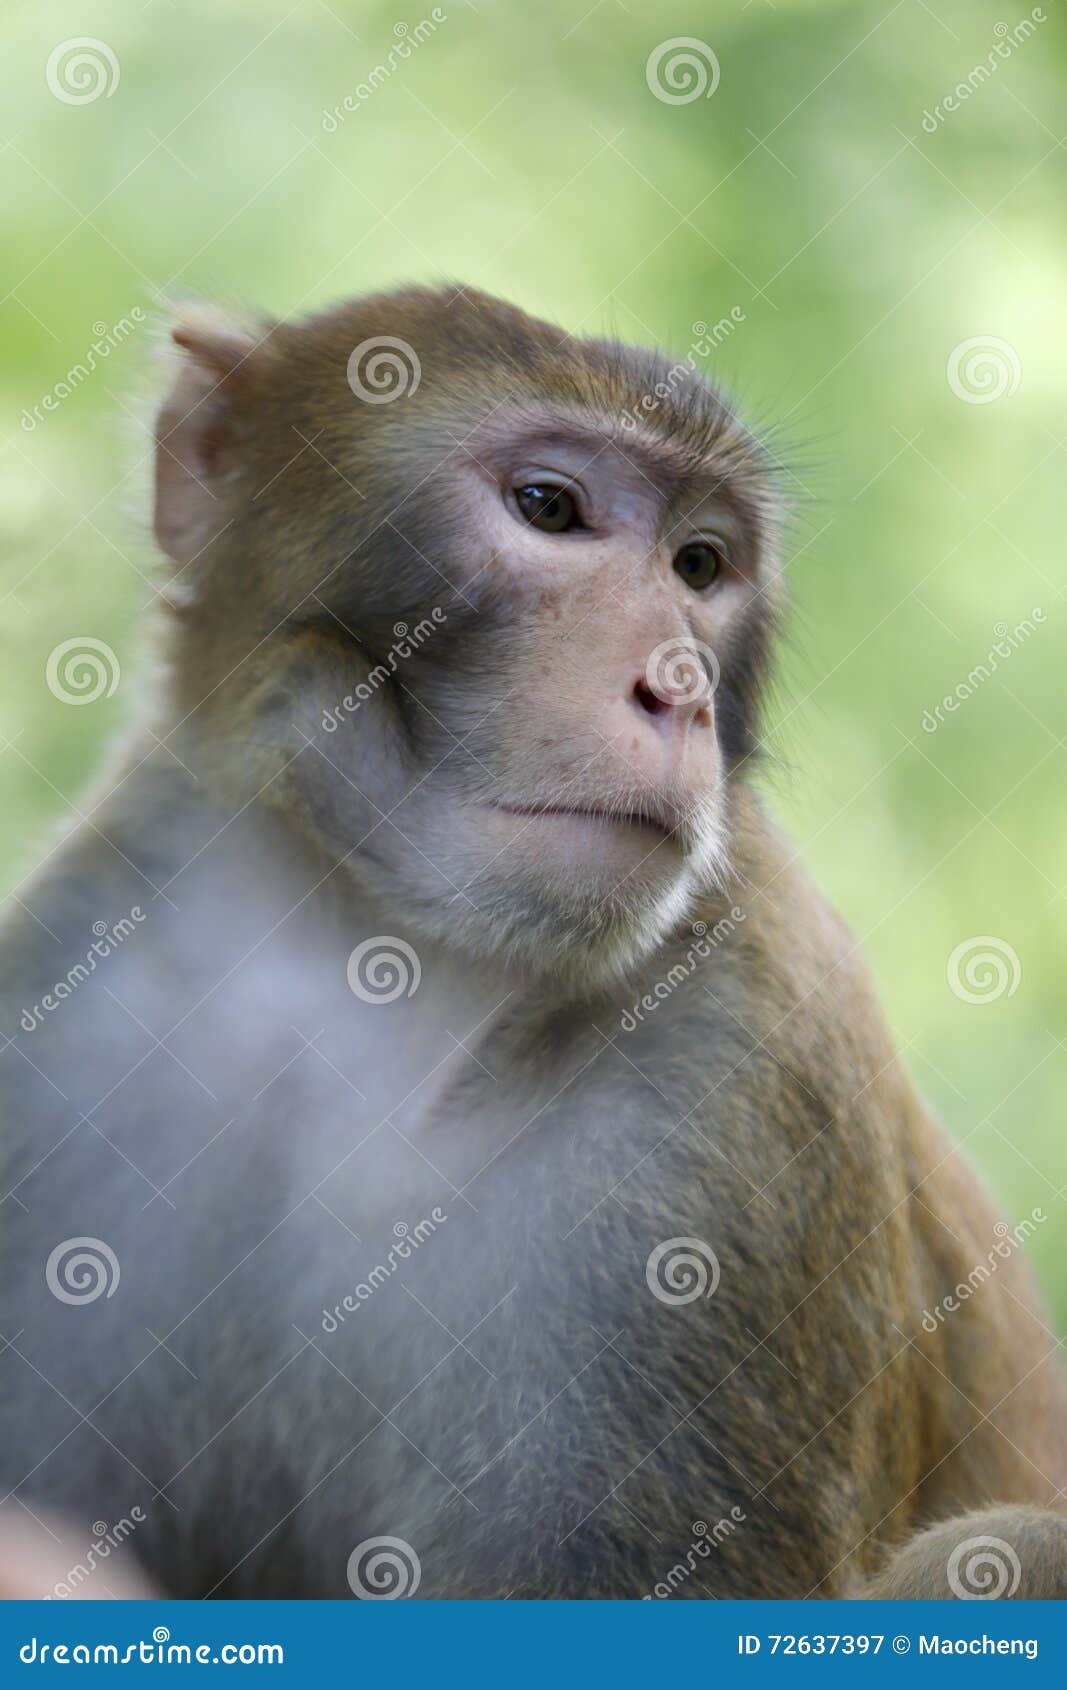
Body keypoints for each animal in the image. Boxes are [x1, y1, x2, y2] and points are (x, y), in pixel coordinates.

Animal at [0, 283, 1065, 1601]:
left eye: (698, 565)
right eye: (548, 508)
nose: (675, 684)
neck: (371, 960)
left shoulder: (730, 1098)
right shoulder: (68, 1016)